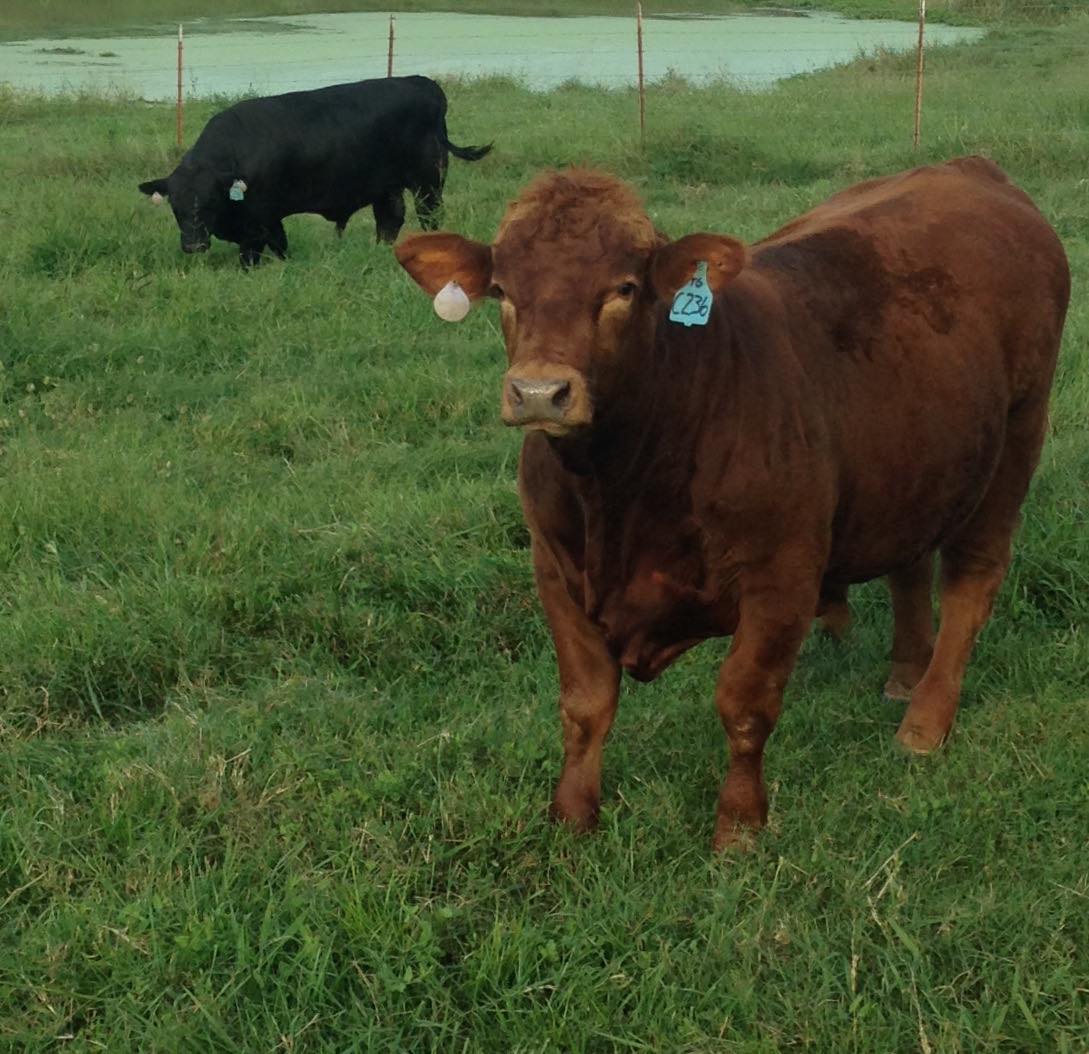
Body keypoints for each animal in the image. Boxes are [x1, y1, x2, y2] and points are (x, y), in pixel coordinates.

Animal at [138, 75, 490, 267]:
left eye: (210, 200)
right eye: (175, 205)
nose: (193, 246)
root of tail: (422, 83)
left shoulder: (259, 222)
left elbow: (258, 253)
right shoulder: (268, 221)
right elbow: (281, 246)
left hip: (428, 179)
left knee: (429, 215)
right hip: (386, 186)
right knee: (390, 219)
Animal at [394, 158, 1069, 850]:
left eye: (624, 288)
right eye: (502, 290)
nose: (537, 392)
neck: (617, 483)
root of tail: (969, 169)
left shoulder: (782, 574)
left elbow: (745, 703)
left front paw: (740, 827)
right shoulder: (555, 570)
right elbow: (585, 704)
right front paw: (571, 818)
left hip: (1018, 435)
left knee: (971, 582)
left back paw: (925, 722)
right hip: (912, 464)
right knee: (910, 565)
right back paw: (905, 677)